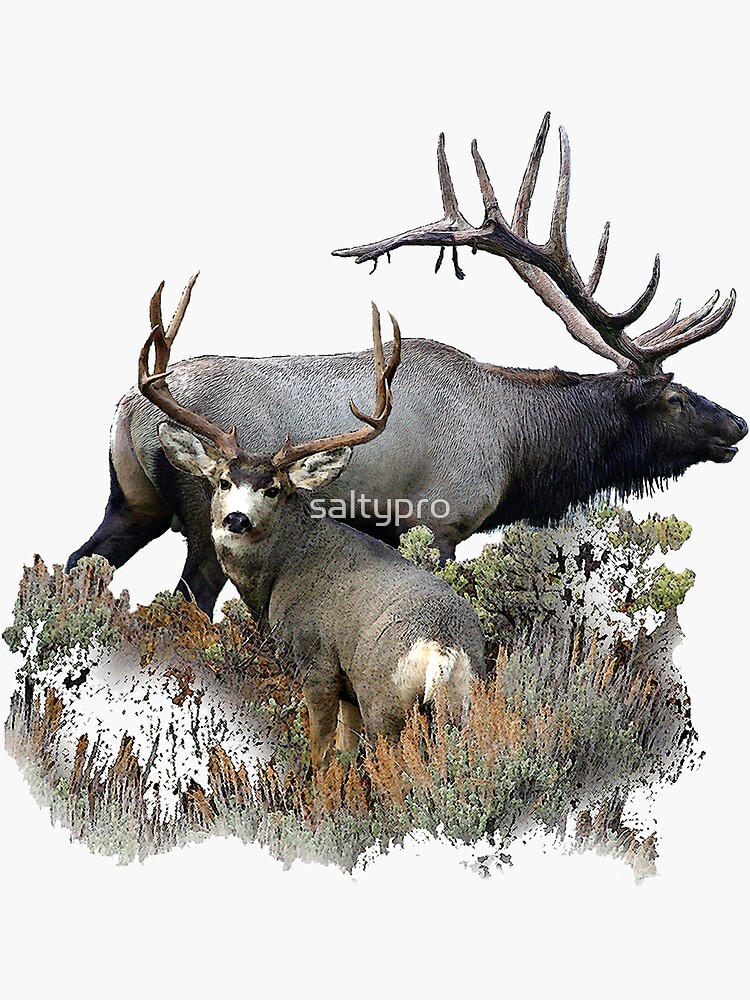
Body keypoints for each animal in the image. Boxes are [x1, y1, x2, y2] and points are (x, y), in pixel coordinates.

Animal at [67, 115, 746, 617]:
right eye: (677, 397)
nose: (736, 424)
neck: (517, 447)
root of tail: (129, 410)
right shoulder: (440, 522)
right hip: (205, 518)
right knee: (187, 598)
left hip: (131, 503)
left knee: (82, 563)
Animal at [137, 284, 487, 773]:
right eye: (224, 480)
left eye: (274, 489)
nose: (236, 519)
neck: (282, 570)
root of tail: (444, 651)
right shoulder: (348, 693)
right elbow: (343, 754)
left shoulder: (317, 664)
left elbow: (321, 755)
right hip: (460, 710)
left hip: (383, 700)